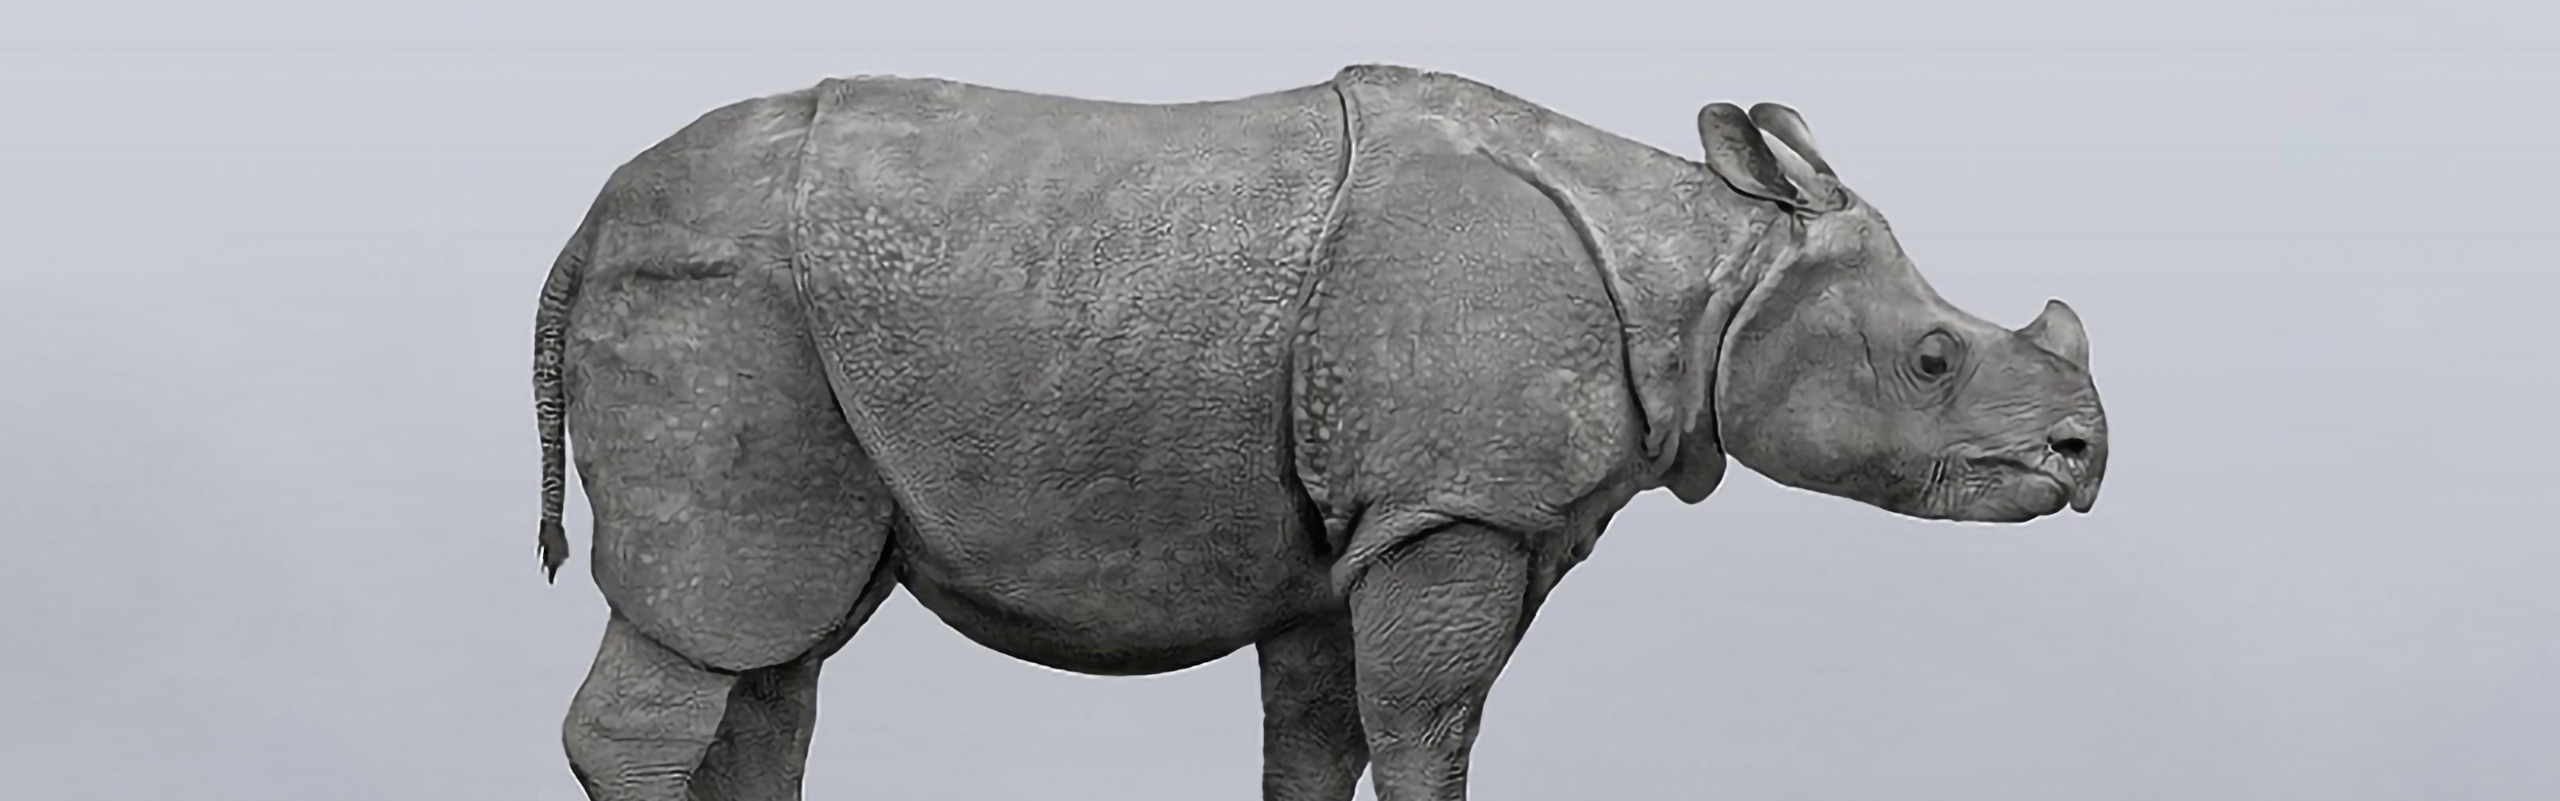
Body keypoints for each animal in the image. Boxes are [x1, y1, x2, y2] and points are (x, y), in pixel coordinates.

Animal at [528, 63, 2109, 801]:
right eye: (1931, 359)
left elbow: (1322, 734)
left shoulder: (1360, 527)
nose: (2086, 459)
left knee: (774, 641)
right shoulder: (1453, 507)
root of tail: (589, 219)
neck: (1712, 270)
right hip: (721, 295)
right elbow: (1429, 723)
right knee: (732, 609)